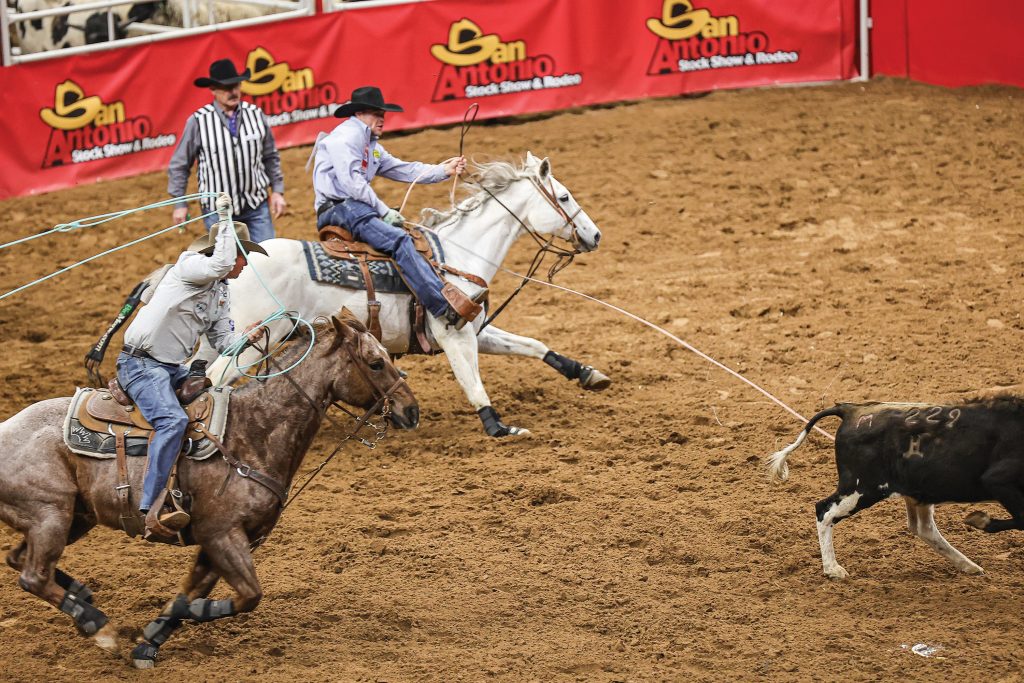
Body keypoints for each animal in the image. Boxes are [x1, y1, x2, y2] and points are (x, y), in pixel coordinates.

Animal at [0, 312, 417, 668]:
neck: (253, 431)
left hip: (74, 516)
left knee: (20, 559)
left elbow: (192, 592)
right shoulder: (221, 534)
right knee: (32, 575)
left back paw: (81, 593)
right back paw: (97, 625)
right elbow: (248, 595)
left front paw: (151, 639)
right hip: (51, 515)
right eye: (376, 362)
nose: (411, 410)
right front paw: (182, 618)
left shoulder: (223, 541)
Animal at [207, 152, 608, 437]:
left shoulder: (475, 327)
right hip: (256, 336)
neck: (456, 254)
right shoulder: (454, 333)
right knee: (215, 377)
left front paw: (586, 373)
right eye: (564, 197)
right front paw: (499, 427)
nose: (596, 235)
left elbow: (533, 345)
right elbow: (472, 381)